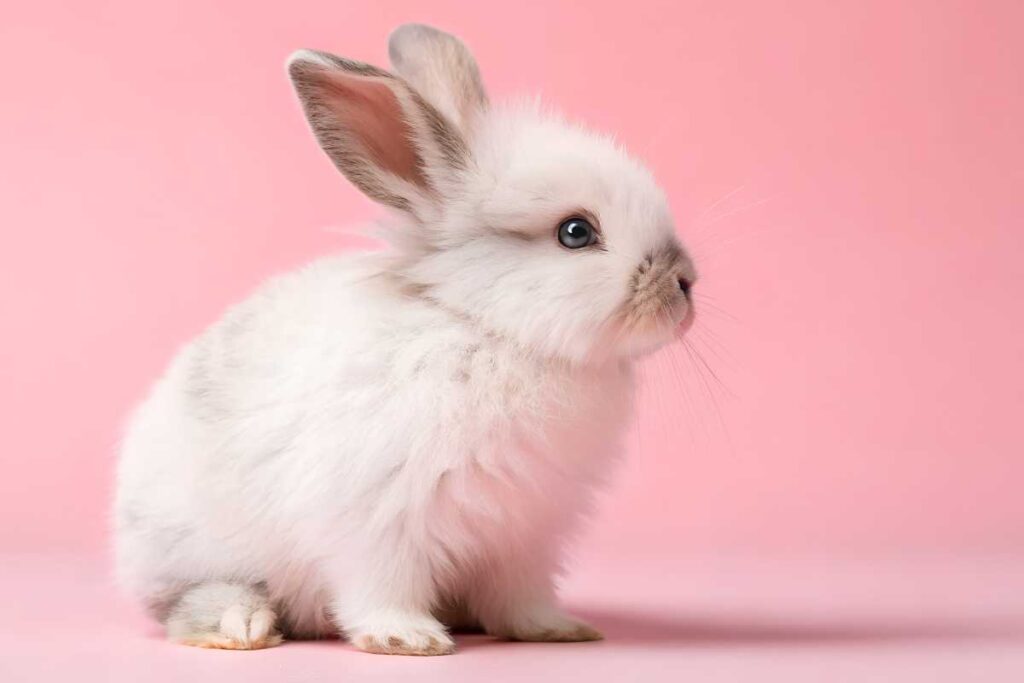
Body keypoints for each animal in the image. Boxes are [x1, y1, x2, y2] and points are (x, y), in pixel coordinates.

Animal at [114, 23, 697, 655]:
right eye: (575, 232)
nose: (685, 284)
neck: (483, 325)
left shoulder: (525, 533)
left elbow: (518, 595)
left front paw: (556, 630)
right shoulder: (380, 517)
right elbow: (383, 583)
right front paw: (405, 639)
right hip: (191, 550)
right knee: (192, 601)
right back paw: (243, 627)